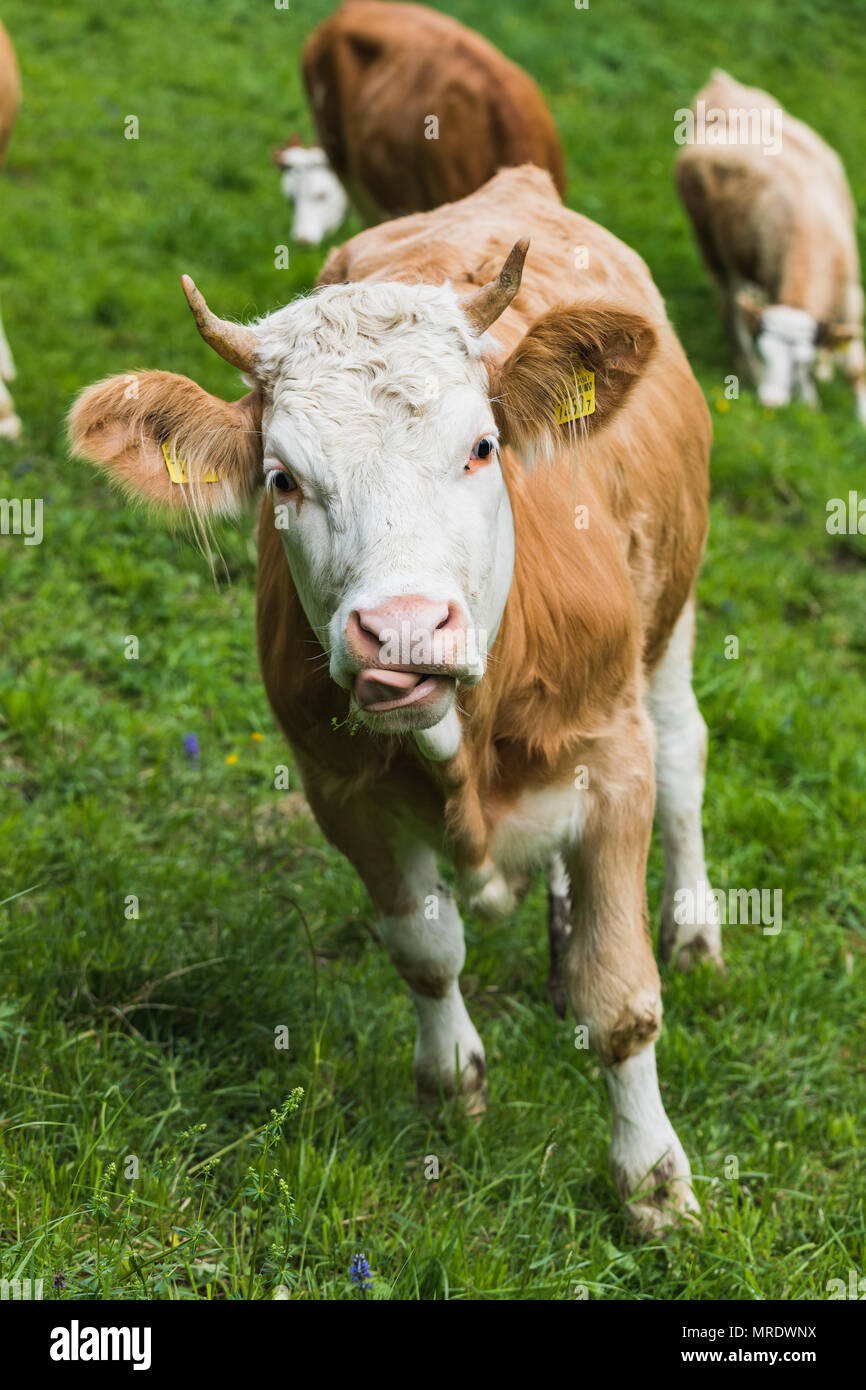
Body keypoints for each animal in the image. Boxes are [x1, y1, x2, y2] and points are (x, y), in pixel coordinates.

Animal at [69, 164, 721, 1231]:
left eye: (484, 446)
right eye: (282, 479)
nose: (407, 630)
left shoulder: (611, 758)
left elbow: (622, 1000)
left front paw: (653, 1182)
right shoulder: (339, 790)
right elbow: (424, 949)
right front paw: (452, 1087)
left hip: (673, 622)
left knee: (686, 755)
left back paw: (696, 925)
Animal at [676, 69, 866, 424]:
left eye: (800, 361)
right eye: (766, 352)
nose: (771, 401)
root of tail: (721, 82)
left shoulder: (851, 294)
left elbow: (854, 364)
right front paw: (809, 402)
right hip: (710, 244)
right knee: (731, 307)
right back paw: (745, 364)